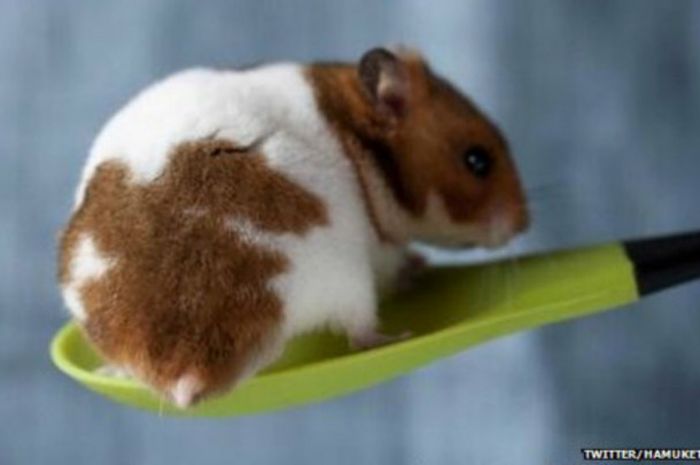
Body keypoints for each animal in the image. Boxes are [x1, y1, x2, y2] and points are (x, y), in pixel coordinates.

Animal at [57, 47, 529, 408]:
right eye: (477, 160)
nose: (525, 222)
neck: (358, 137)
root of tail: (187, 368)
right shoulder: (380, 250)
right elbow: (395, 263)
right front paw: (418, 266)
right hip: (344, 278)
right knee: (360, 331)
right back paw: (396, 335)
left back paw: (112, 369)